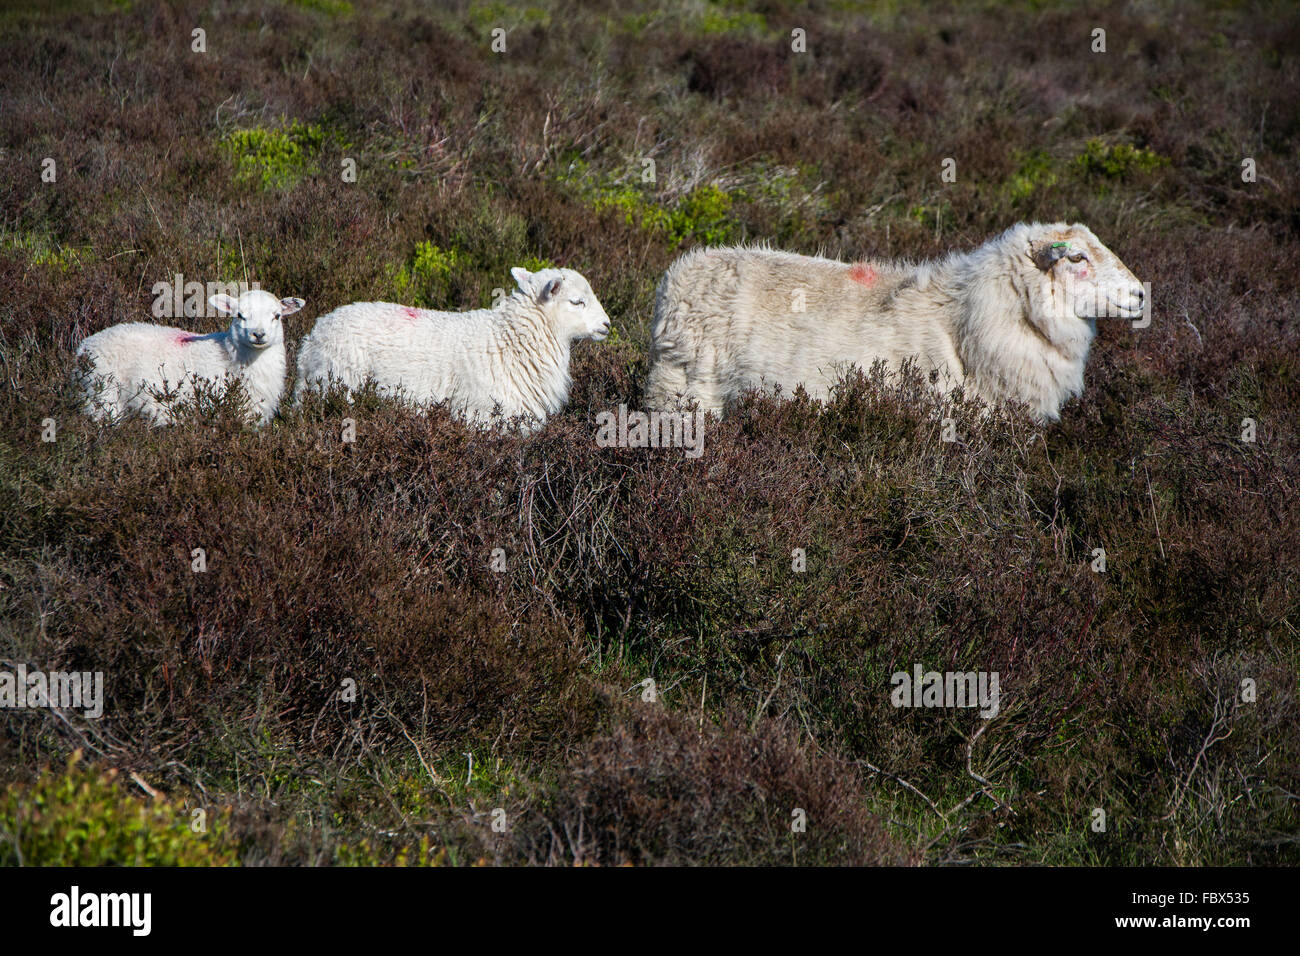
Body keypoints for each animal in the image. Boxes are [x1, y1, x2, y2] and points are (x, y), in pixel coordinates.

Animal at [76, 289, 305, 426]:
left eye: (277, 316)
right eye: (240, 315)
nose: (258, 334)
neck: (228, 358)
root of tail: (84, 345)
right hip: (102, 396)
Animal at [293, 266, 611, 430]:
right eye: (577, 301)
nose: (607, 324)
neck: (507, 341)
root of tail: (313, 336)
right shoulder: (480, 417)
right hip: (336, 387)